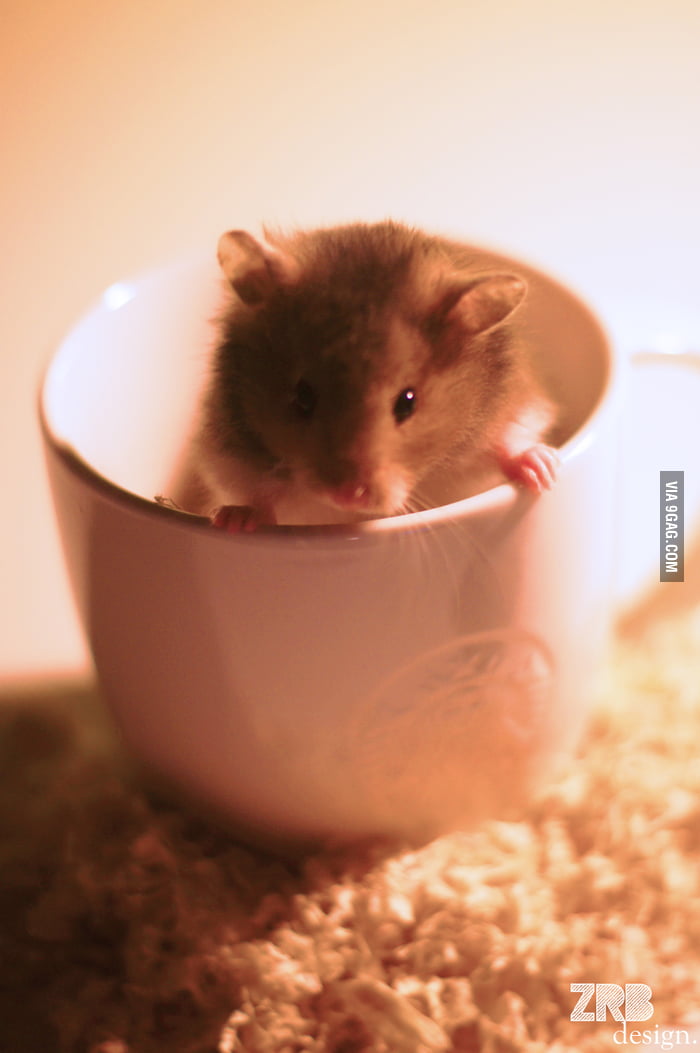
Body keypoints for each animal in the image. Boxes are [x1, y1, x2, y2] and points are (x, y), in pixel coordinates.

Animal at [175, 220, 559, 530]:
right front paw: (234, 521)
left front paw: (545, 472)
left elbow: (509, 438)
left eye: (408, 402)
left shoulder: (513, 404)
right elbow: (254, 494)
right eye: (302, 396)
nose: (347, 496)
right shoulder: (228, 453)